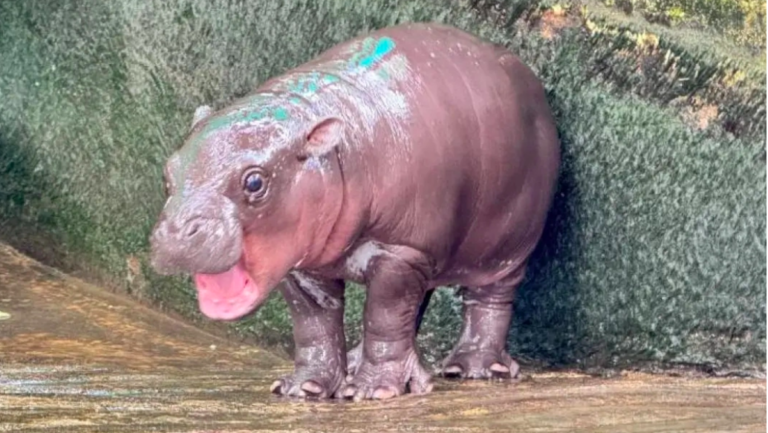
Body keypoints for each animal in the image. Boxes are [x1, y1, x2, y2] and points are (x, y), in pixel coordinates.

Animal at [150, 22, 560, 401]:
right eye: (168, 173)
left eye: (254, 182)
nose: (175, 233)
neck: (330, 141)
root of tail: (521, 69)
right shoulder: (305, 263)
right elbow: (315, 324)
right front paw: (304, 387)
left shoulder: (399, 250)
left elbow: (384, 316)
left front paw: (374, 390)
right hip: (429, 249)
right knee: (415, 306)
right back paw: (360, 363)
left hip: (506, 243)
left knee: (488, 298)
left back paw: (474, 368)